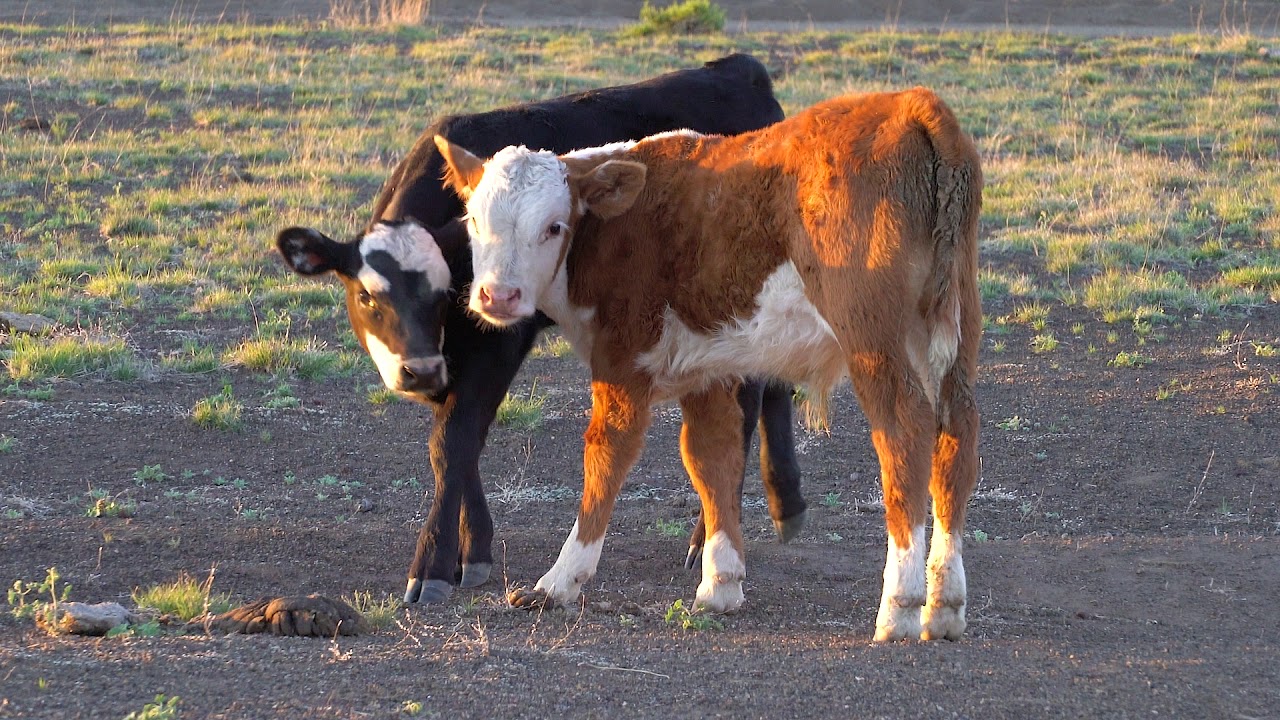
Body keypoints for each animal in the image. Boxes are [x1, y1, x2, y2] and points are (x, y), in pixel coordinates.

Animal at [274, 54, 808, 606]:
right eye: (367, 296)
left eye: (440, 295)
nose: (418, 373)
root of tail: (737, 69)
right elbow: (461, 440)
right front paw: (474, 547)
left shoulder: (499, 342)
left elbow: (454, 439)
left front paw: (434, 564)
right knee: (771, 393)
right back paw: (783, 503)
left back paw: (711, 536)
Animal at [436, 86, 983, 642]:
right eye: (474, 221)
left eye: (554, 226)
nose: (498, 296)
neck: (619, 225)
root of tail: (912, 105)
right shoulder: (708, 368)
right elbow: (711, 455)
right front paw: (720, 581)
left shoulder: (623, 360)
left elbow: (606, 455)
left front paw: (559, 582)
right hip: (953, 326)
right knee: (956, 434)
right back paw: (945, 605)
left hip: (871, 335)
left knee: (904, 430)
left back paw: (899, 604)